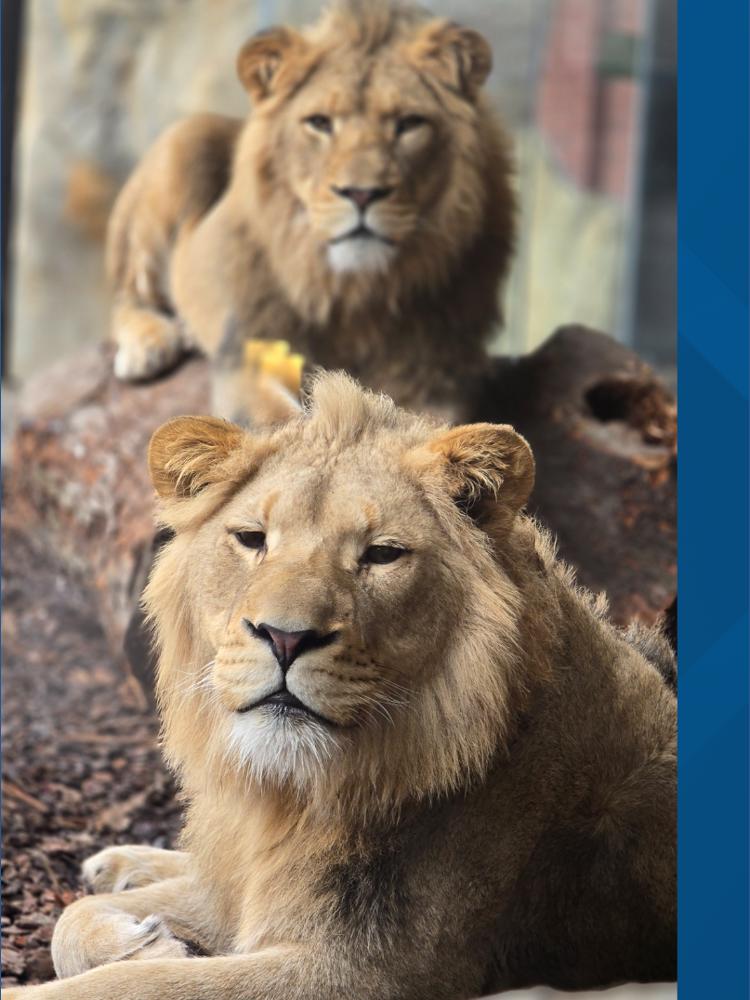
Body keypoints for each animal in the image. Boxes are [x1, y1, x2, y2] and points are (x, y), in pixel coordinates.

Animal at [8, 373, 675, 1000]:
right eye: (252, 539)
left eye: (382, 554)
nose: (284, 638)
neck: (300, 793)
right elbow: (76, 921)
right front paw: (146, 939)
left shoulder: (368, 970)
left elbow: (133, 985)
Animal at [106, 0, 516, 422]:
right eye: (320, 123)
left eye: (409, 124)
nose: (361, 193)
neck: (356, 294)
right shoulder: (246, 356)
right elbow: (280, 420)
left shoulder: (437, 371)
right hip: (185, 140)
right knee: (124, 295)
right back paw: (150, 345)